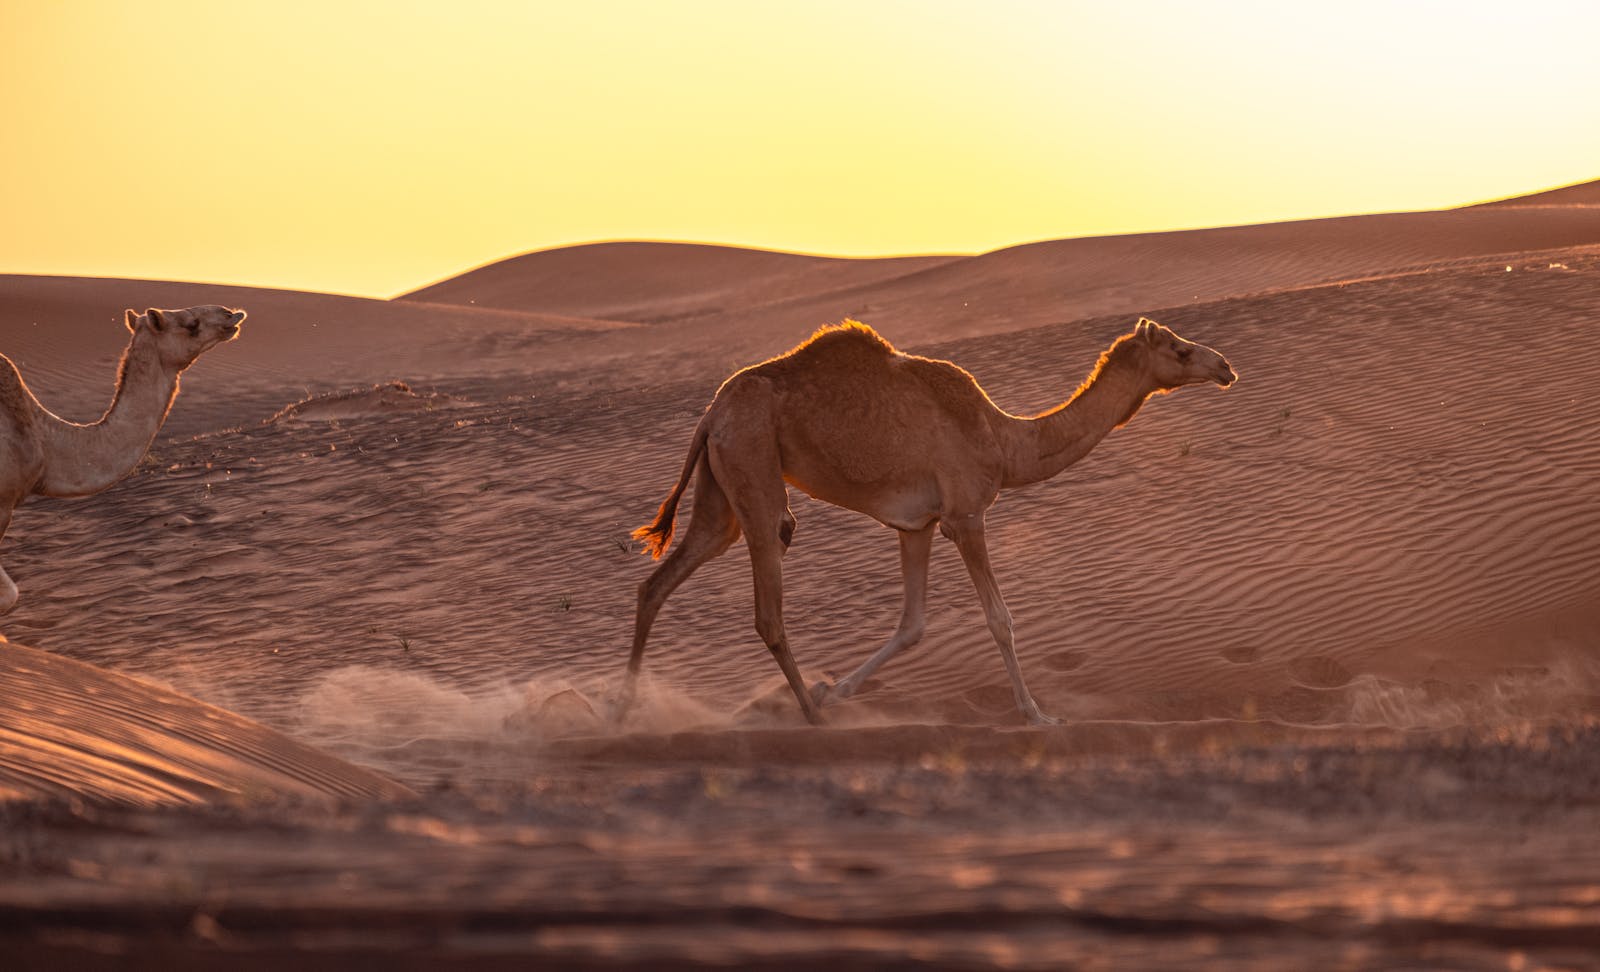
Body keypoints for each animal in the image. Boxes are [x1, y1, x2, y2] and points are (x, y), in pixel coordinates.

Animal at [619, 317, 1234, 726]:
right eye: (1180, 350)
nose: (1225, 366)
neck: (1007, 442)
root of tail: (711, 414)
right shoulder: (964, 515)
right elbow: (1000, 618)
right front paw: (1036, 713)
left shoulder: (915, 526)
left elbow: (912, 625)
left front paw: (834, 690)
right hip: (753, 465)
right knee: (768, 606)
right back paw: (811, 719)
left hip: (721, 491)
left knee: (657, 583)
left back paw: (620, 708)